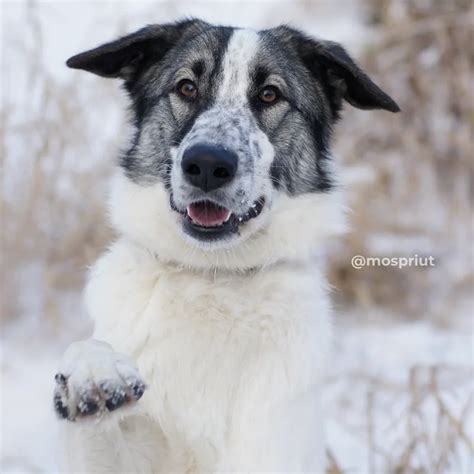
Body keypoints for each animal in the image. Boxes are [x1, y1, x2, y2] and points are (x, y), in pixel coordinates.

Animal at [53, 19, 398, 474]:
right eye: (186, 87)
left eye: (269, 94)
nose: (206, 165)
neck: (212, 278)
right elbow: (88, 358)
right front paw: (93, 373)